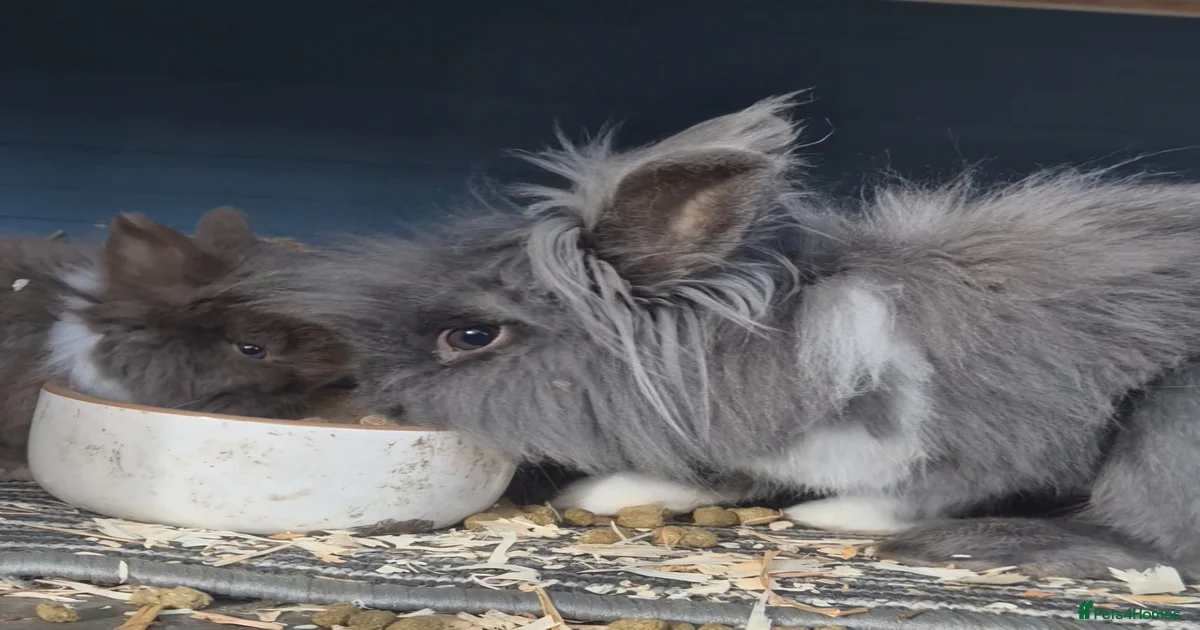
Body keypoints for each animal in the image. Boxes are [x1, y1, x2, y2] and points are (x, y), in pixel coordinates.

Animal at [248, 93, 1200, 580]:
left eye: (472, 336)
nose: (372, 398)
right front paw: (606, 492)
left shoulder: (974, 435)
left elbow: (917, 487)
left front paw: (836, 515)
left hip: (1168, 430)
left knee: (1154, 539)